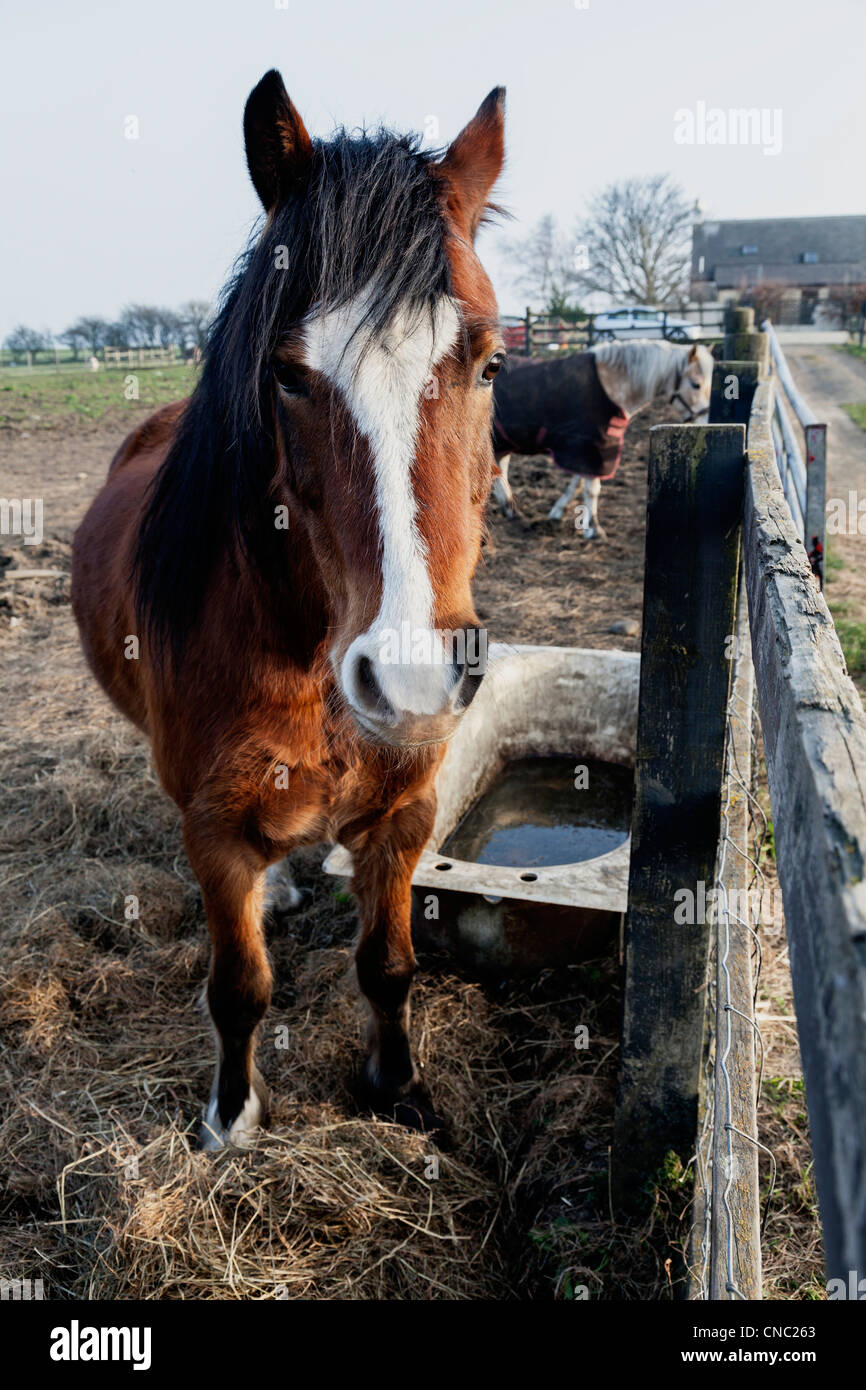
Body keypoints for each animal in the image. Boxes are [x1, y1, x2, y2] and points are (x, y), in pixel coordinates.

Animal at [71, 70, 507, 1149]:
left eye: (489, 363)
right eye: (288, 373)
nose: (411, 678)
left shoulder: (404, 815)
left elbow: (388, 967)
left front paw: (398, 1088)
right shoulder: (216, 837)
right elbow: (238, 989)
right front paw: (231, 1119)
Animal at [491, 338, 714, 538]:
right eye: (696, 384)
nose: (705, 420)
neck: (610, 385)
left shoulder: (586, 450)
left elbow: (578, 484)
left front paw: (558, 512)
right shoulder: (590, 448)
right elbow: (592, 489)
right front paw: (593, 529)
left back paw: (510, 509)